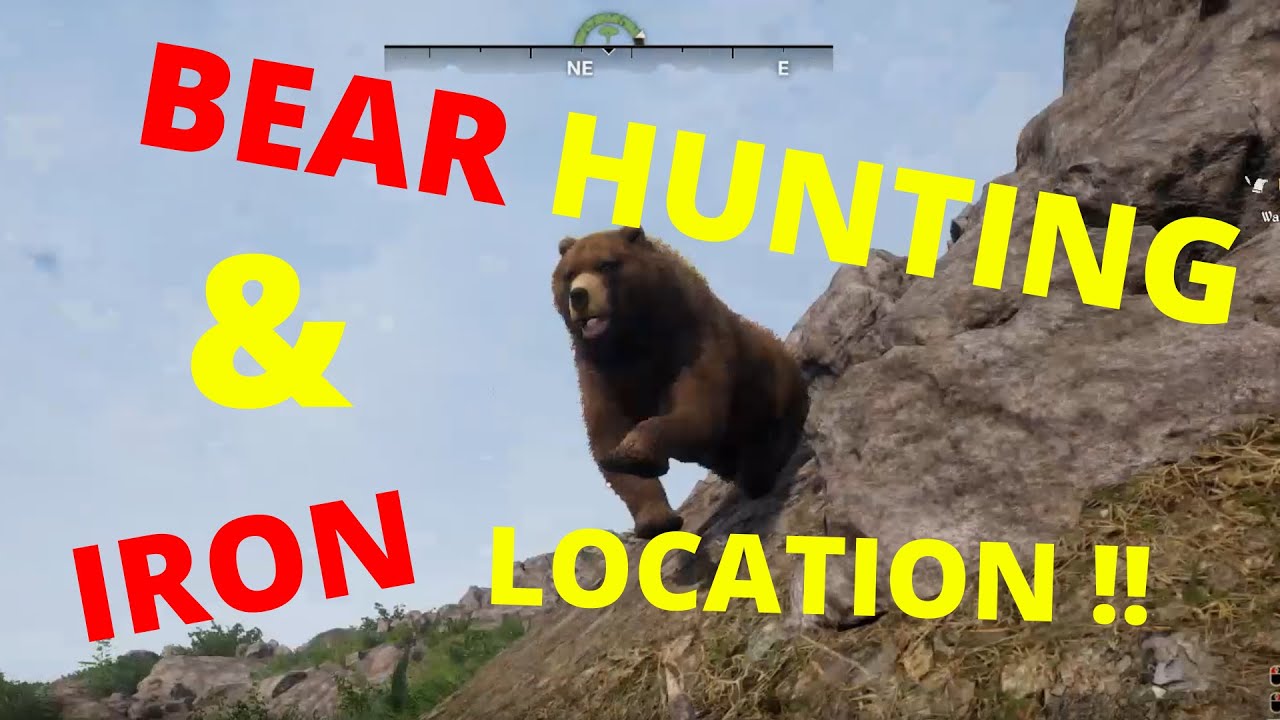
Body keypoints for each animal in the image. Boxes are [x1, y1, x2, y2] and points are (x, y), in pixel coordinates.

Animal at [551, 225, 809, 539]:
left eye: (606, 265)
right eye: (569, 273)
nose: (579, 295)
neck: (631, 341)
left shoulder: (693, 343)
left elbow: (696, 412)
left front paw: (635, 451)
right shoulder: (599, 373)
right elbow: (607, 434)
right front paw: (655, 517)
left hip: (775, 391)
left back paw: (761, 473)